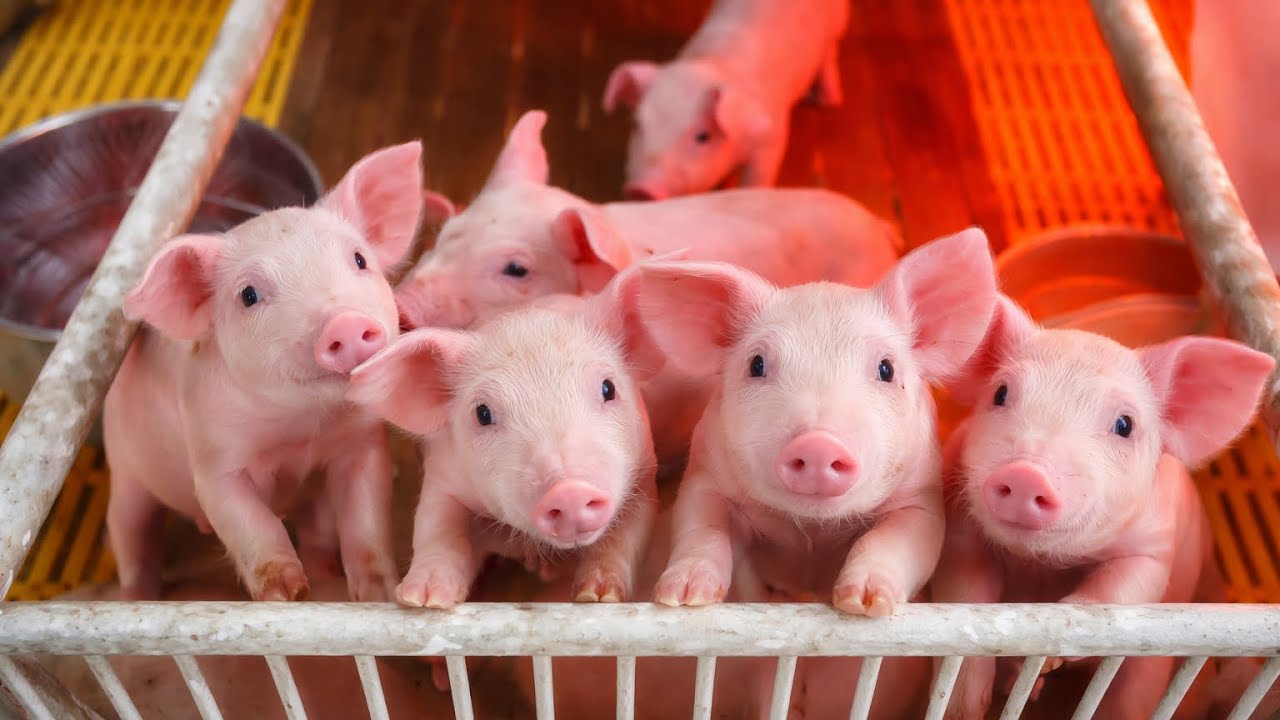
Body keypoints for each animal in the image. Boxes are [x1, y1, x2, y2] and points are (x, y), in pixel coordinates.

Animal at [102, 142, 424, 603]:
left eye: (360, 259)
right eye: (249, 295)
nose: (344, 323)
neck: (298, 429)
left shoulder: (362, 443)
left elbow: (365, 519)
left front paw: (380, 595)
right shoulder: (214, 456)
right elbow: (249, 520)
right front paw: (287, 596)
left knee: (317, 531)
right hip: (125, 473)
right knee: (131, 540)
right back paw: (136, 598)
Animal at [347, 274, 663, 610]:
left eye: (608, 388)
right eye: (483, 413)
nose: (569, 491)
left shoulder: (644, 474)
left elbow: (624, 537)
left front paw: (597, 597)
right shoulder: (442, 475)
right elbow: (436, 527)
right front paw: (422, 599)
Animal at [602, 0, 850, 198]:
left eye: (703, 136)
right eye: (637, 125)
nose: (641, 189)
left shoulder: (771, 140)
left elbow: (757, 178)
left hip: (837, 22)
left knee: (830, 52)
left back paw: (826, 100)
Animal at [621, 227, 1000, 718]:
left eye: (886, 368)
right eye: (757, 364)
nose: (818, 444)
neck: (810, 536)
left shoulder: (920, 498)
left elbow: (896, 540)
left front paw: (863, 603)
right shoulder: (704, 477)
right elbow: (702, 530)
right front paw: (683, 598)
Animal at [933, 294, 1275, 720]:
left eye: (1125, 425)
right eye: (1000, 393)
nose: (1028, 473)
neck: (1040, 565)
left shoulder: (1153, 547)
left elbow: (1114, 595)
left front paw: (1043, 663)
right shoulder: (959, 522)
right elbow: (966, 594)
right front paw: (979, 698)